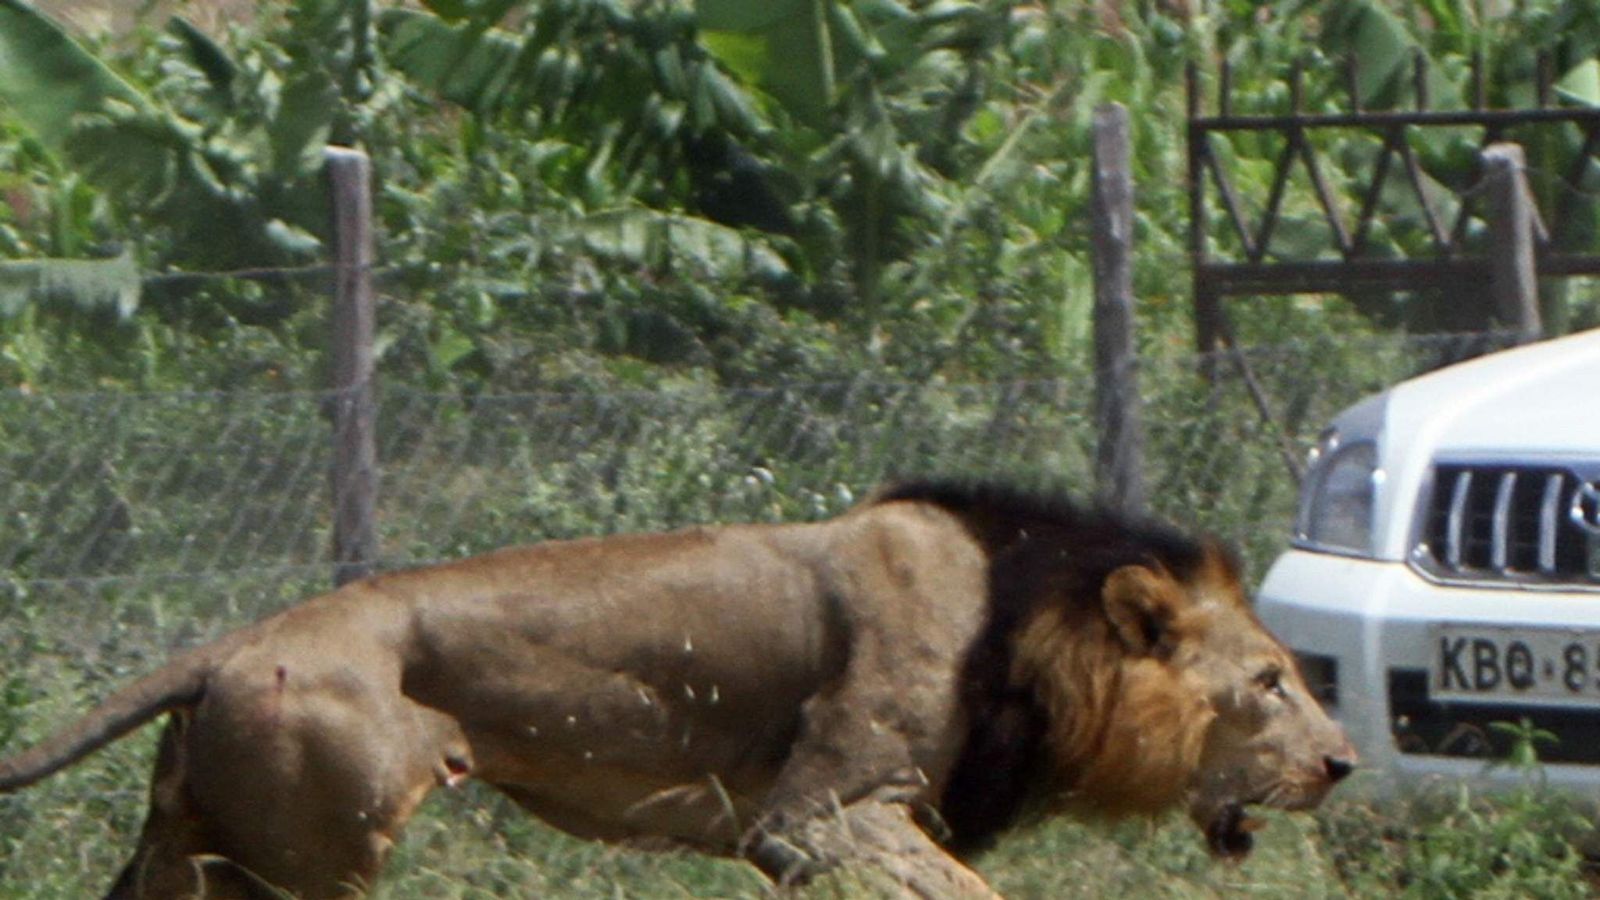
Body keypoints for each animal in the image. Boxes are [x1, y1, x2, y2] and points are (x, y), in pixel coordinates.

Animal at [0, 479, 1354, 899]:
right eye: (1267, 682)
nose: (1342, 764)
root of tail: (232, 644)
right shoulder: (816, 814)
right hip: (315, 859)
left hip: (197, 853)